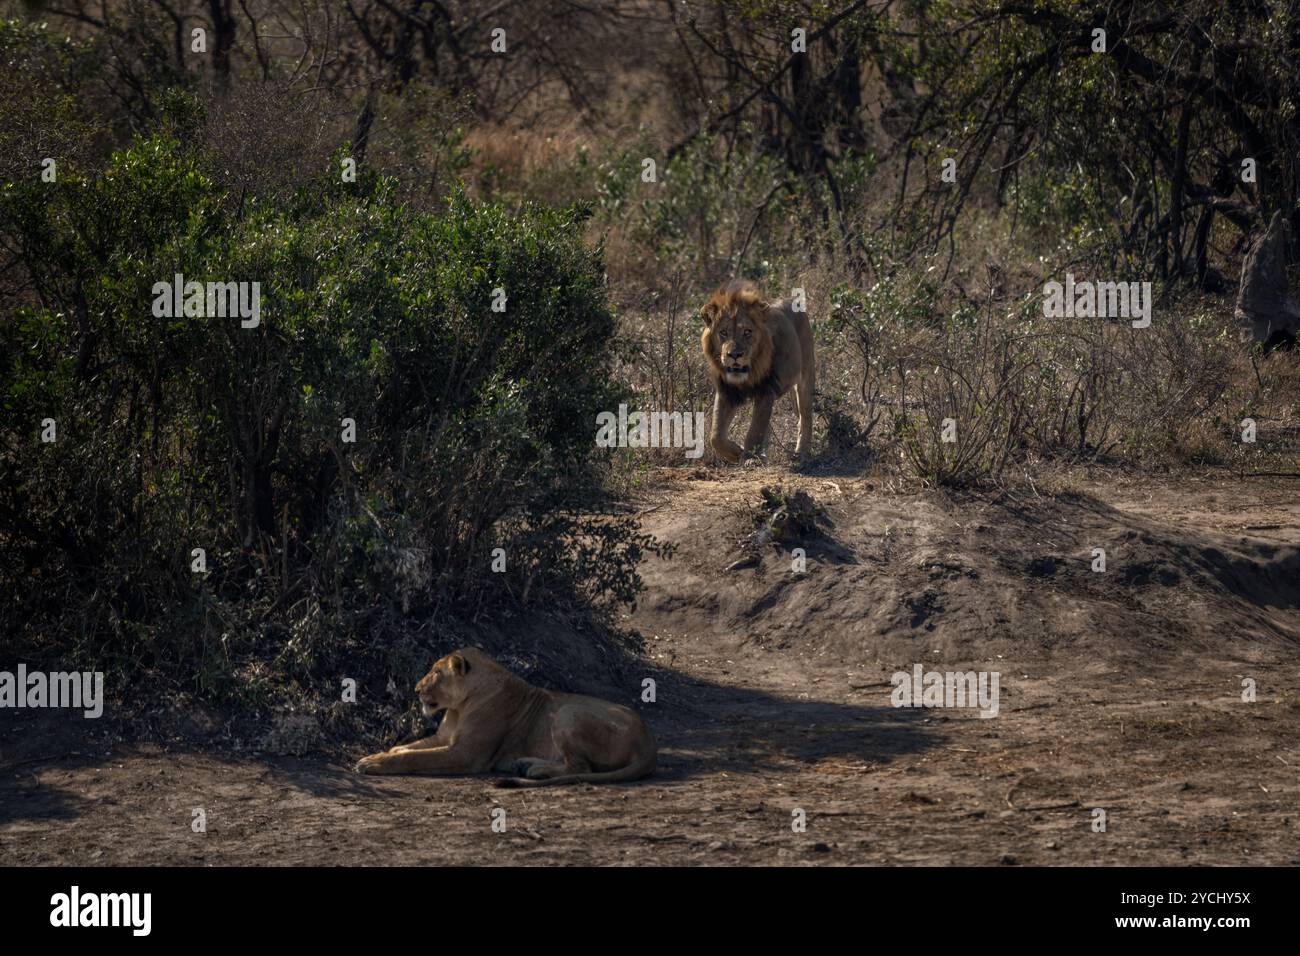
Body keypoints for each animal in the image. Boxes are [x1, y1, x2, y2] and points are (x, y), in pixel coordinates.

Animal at [354, 647, 656, 788]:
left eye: (437, 673)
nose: (416, 689)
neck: (460, 707)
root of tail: (646, 742)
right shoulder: (443, 737)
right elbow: (407, 748)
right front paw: (382, 753)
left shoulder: (465, 754)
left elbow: (414, 757)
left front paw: (372, 763)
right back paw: (525, 764)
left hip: (567, 712)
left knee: (581, 767)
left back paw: (535, 770)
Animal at [700, 279, 815, 463]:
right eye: (723, 332)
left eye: (747, 332)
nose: (734, 355)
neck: (747, 374)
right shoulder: (726, 391)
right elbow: (716, 436)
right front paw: (737, 453)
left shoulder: (766, 391)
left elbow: (756, 429)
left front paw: (749, 457)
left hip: (805, 376)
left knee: (805, 416)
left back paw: (801, 452)